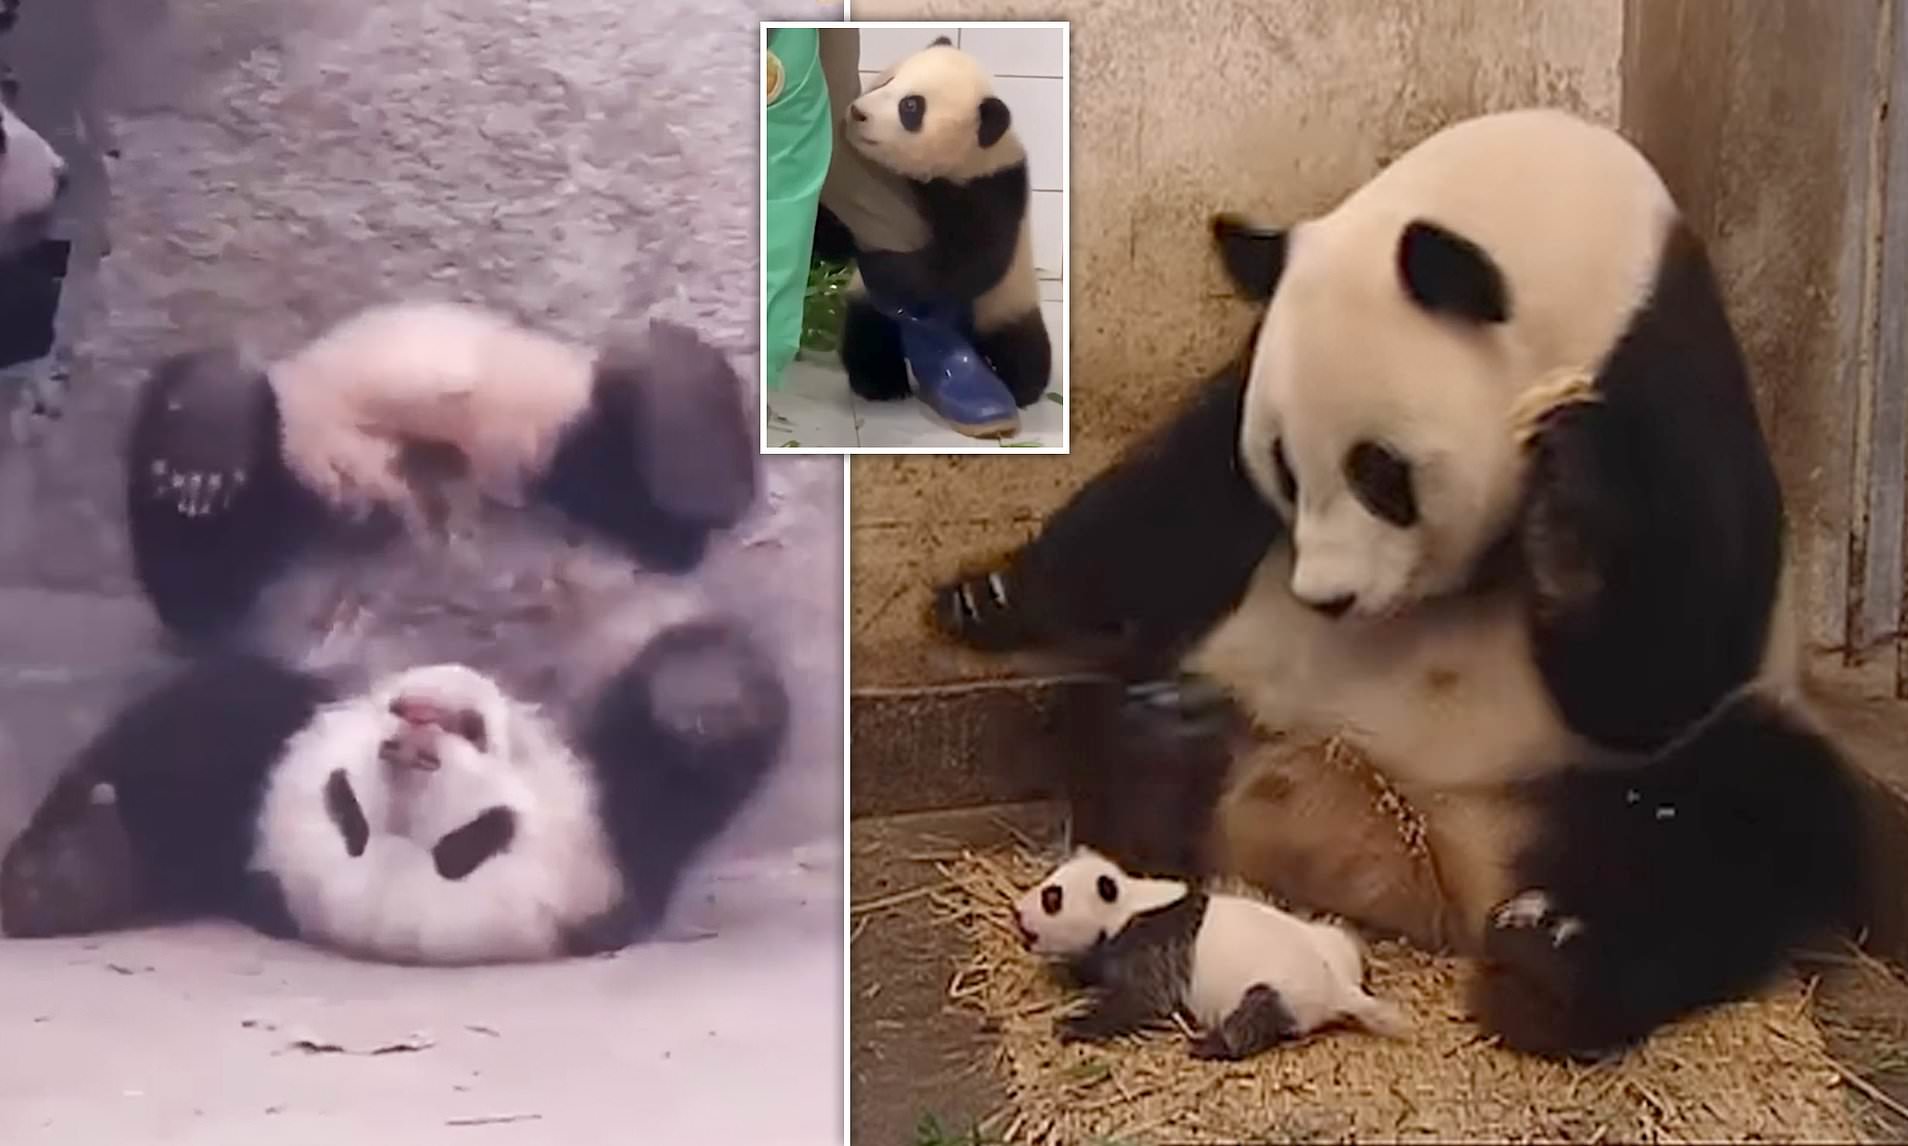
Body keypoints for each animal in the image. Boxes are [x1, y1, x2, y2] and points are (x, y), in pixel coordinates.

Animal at [0, 300, 790, 965]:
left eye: (472, 843)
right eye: (347, 813)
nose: (416, 735)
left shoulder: (636, 821)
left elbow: (715, 720)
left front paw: (701, 699)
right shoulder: (256, 746)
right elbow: (176, 746)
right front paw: (57, 874)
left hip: (540, 501)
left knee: (642, 495)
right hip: (342, 522)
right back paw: (202, 430)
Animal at [831, 36, 1052, 413]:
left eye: (910, 107)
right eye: (888, 80)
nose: (858, 112)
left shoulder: (993, 188)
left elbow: (968, 264)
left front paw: (888, 266)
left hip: (1009, 300)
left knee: (1023, 346)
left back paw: (1020, 388)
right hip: (870, 308)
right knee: (870, 333)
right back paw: (881, 383)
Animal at [931, 108, 1869, 1059]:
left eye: (1380, 471)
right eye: (1284, 465)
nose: (1326, 600)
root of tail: (1410, 865)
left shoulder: (1667, 383)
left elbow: (1666, 665)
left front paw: (1568, 507)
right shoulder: (1261, 360)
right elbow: (1178, 493)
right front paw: (989, 597)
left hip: (1595, 783)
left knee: (1743, 824)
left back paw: (1550, 960)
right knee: (1116, 728)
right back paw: (1159, 755)